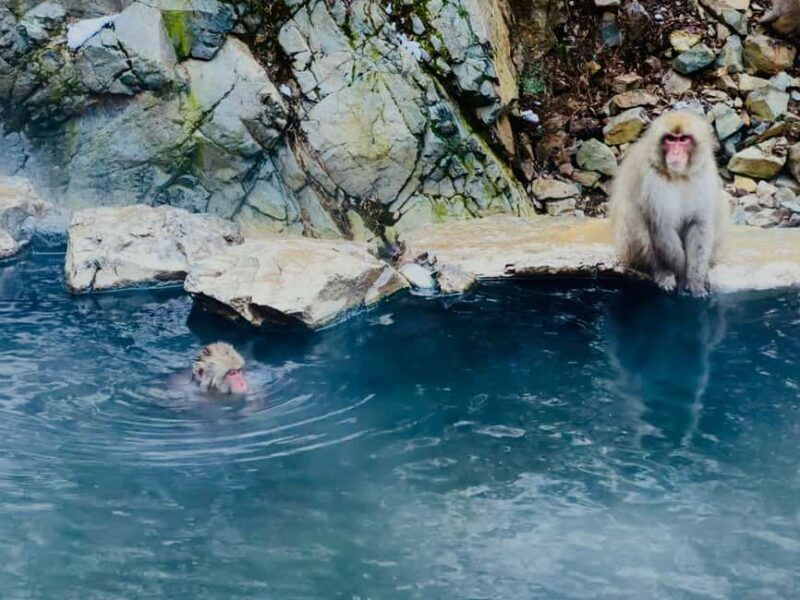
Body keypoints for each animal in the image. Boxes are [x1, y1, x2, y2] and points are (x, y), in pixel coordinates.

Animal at [609, 111, 729, 297]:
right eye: (670, 139)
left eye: (683, 139)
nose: (676, 153)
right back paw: (661, 271)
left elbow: (700, 223)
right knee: (631, 213)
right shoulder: (651, 179)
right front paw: (681, 277)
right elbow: (661, 226)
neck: (679, 176)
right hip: (625, 247)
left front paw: (695, 280)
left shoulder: (704, 172)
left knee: (723, 201)